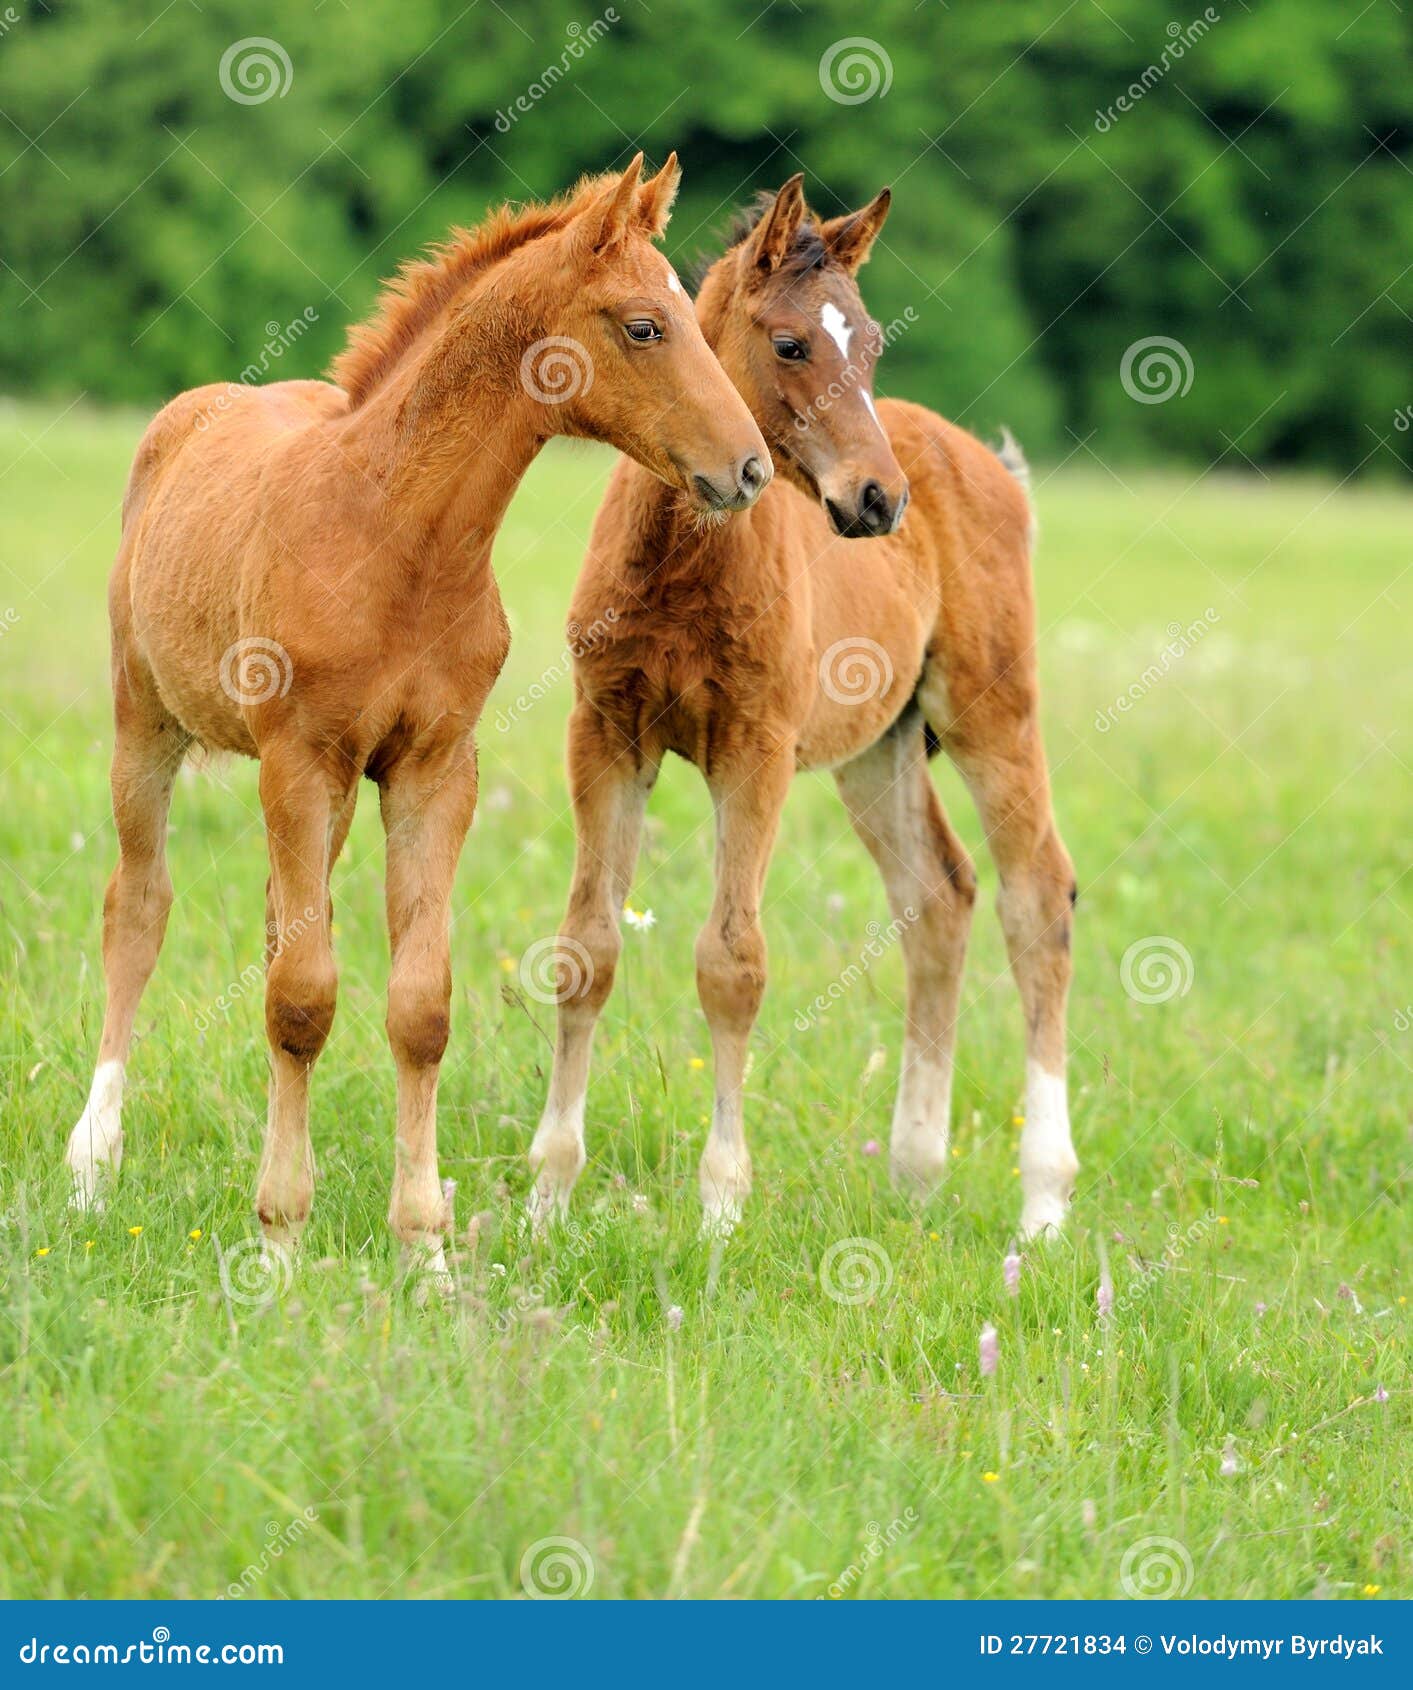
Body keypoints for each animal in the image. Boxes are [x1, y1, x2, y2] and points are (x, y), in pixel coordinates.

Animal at [63, 155, 771, 1289]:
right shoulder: (300, 760)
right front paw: (278, 1241)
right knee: (138, 912)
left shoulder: (433, 769)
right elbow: (302, 999)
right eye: (644, 325)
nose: (749, 470)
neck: (395, 535)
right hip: (147, 729)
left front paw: (425, 1248)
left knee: (277, 925)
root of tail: (202, 409)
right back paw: (94, 1163)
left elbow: (416, 1007)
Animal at [528, 175, 1078, 1242]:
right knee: (940, 894)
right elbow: (586, 949)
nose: (876, 501)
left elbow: (731, 964)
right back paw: (913, 1176)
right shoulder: (605, 734)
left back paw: (1041, 1206)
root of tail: (990, 468)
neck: (683, 564)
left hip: (992, 712)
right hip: (880, 747)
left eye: (869, 347)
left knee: (1037, 897)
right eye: (789, 344)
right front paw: (545, 1199)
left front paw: (719, 1211)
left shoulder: (756, 748)